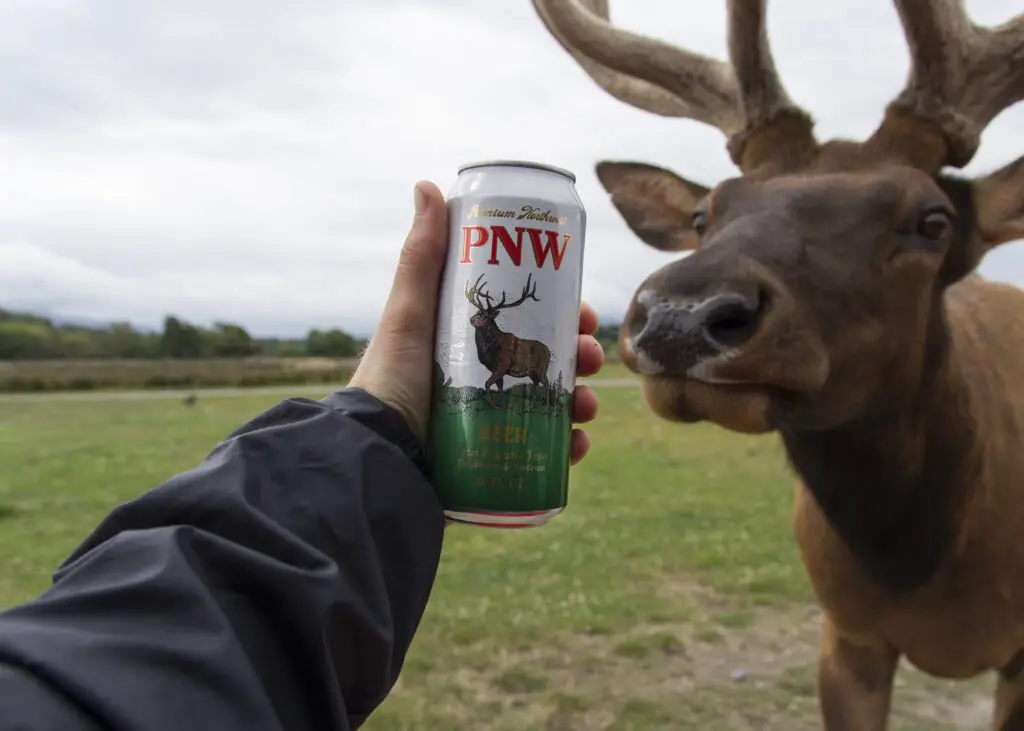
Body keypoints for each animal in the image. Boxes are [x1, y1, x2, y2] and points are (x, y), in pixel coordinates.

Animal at [465, 272, 553, 410]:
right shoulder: (496, 369)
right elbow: (499, 387)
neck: (489, 349)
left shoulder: (503, 365)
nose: (471, 319)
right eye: (477, 312)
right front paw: (502, 406)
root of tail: (548, 352)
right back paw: (530, 406)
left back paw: (545, 410)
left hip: (542, 368)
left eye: (485, 317)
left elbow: (487, 383)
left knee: (546, 383)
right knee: (536, 384)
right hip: (532, 372)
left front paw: (494, 406)